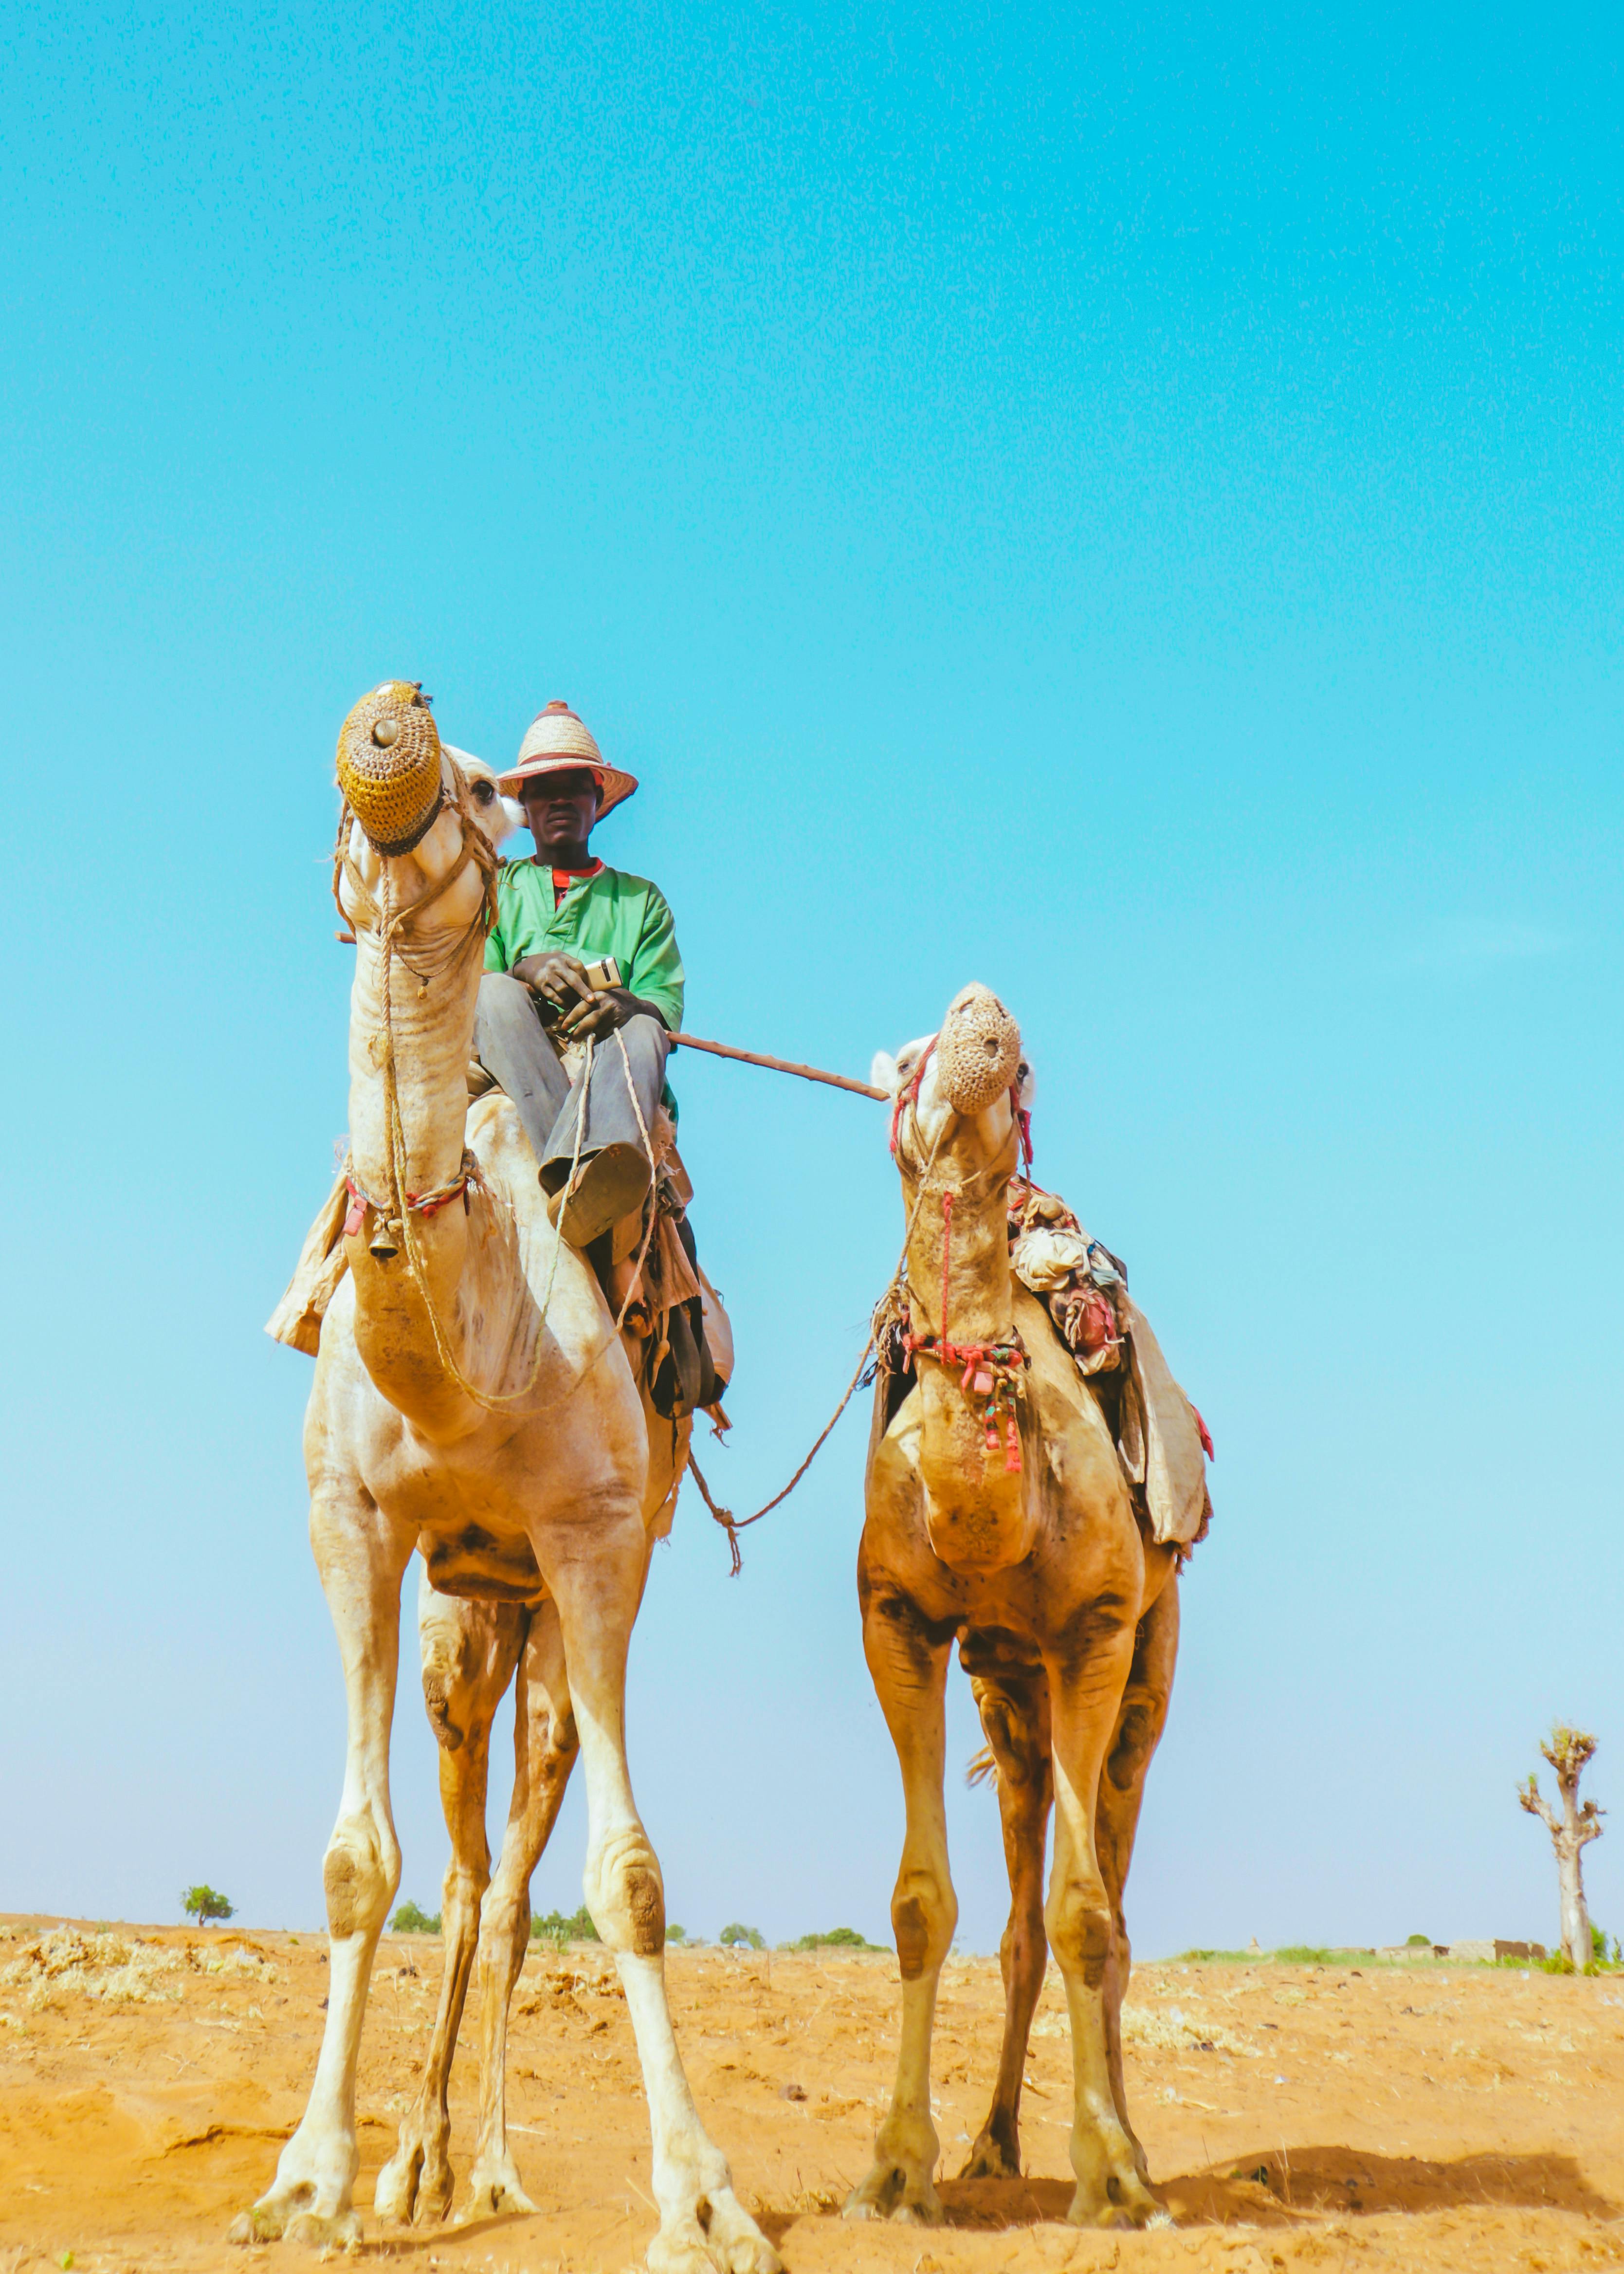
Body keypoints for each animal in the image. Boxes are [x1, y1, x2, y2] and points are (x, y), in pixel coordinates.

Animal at [236, 681, 777, 2274]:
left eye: (492, 787)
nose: (387, 734)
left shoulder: (593, 1540)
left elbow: (630, 1882)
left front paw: (699, 2198)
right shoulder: (350, 1524)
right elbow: (359, 1864)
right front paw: (310, 2181)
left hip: (546, 1601)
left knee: (528, 1864)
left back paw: (479, 2166)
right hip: (461, 1619)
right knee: (471, 1869)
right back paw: (420, 2167)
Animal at [847, 982, 1194, 2231]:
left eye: (1027, 1066)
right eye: (910, 1054)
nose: (980, 1013)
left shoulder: (1093, 1629)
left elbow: (1088, 1914)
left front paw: (1112, 2175)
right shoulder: (896, 1619)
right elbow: (918, 1903)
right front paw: (898, 2168)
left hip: (1144, 1666)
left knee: (1111, 1906)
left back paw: (1133, 2149)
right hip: (1007, 1689)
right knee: (1018, 1919)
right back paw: (993, 2143)